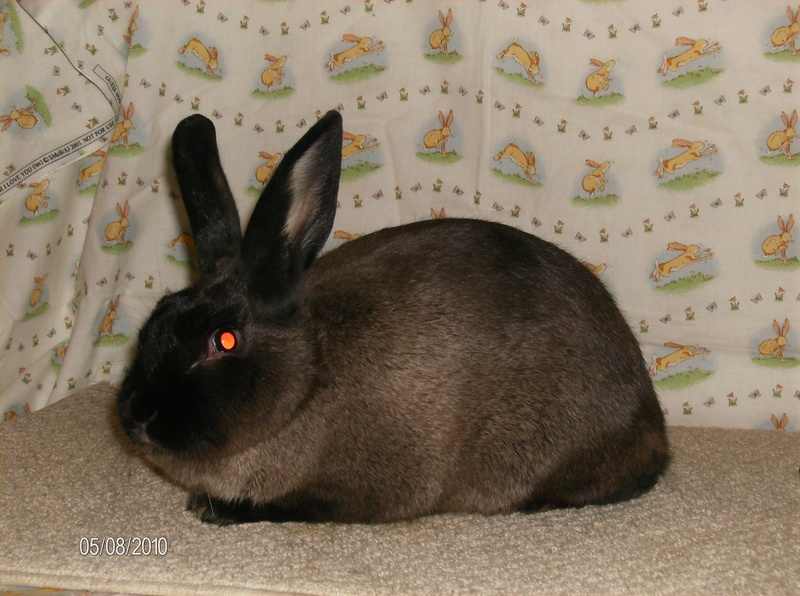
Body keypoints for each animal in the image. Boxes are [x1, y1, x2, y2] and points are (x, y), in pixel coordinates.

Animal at [116, 111, 670, 526]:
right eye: (157, 318)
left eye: (225, 341)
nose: (136, 415)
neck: (310, 379)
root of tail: (653, 423)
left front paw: (218, 511)